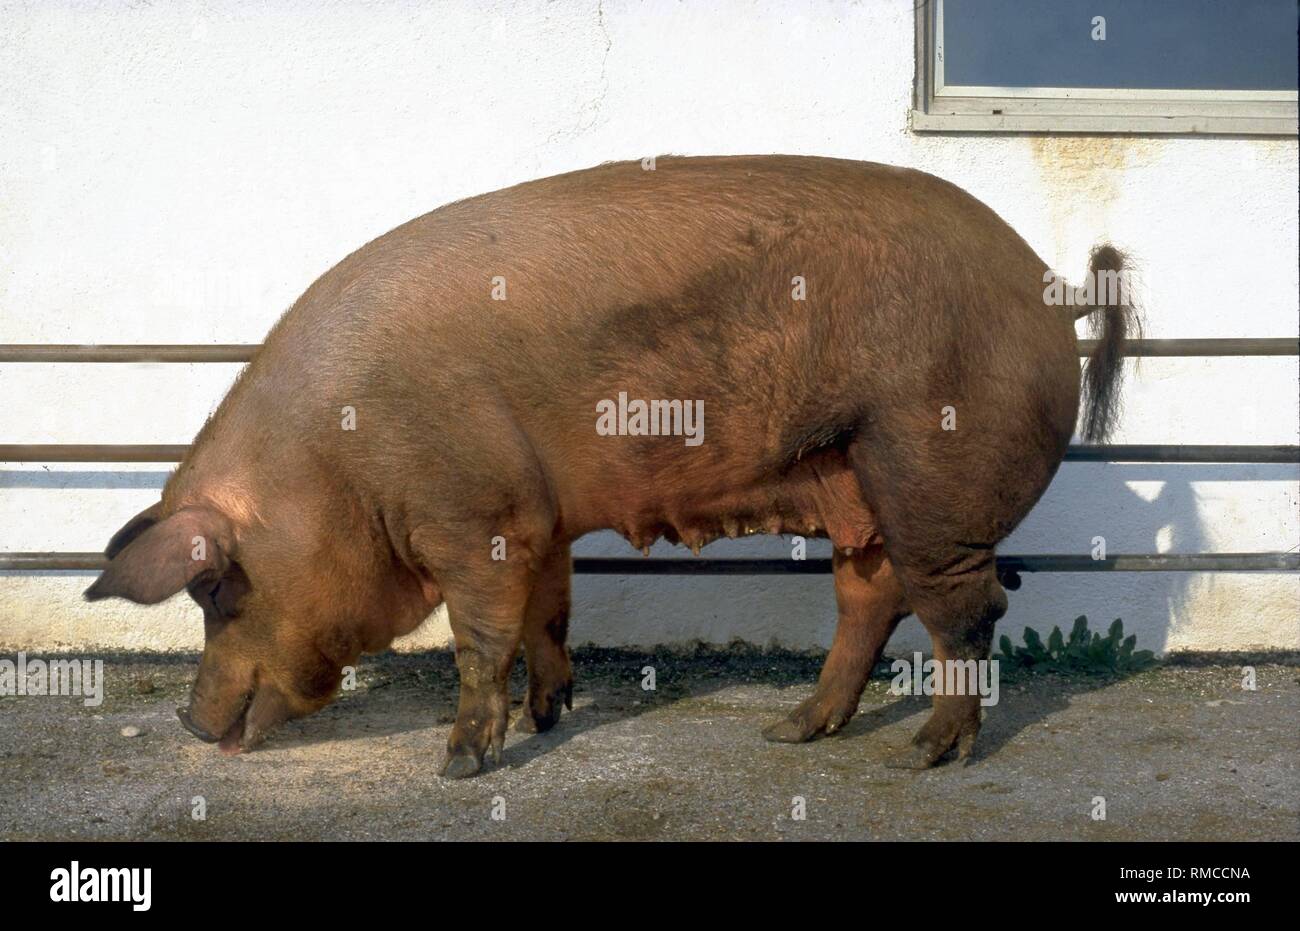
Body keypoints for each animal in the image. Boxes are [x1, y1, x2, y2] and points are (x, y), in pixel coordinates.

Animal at [85, 155, 1135, 777]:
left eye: (215, 591)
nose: (187, 723)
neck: (337, 463)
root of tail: (1054, 289)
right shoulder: (537, 517)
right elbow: (547, 614)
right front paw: (549, 715)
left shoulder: (474, 514)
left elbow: (479, 638)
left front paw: (460, 764)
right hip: (851, 480)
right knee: (871, 598)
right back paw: (791, 730)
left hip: (930, 475)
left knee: (968, 608)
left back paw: (926, 753)